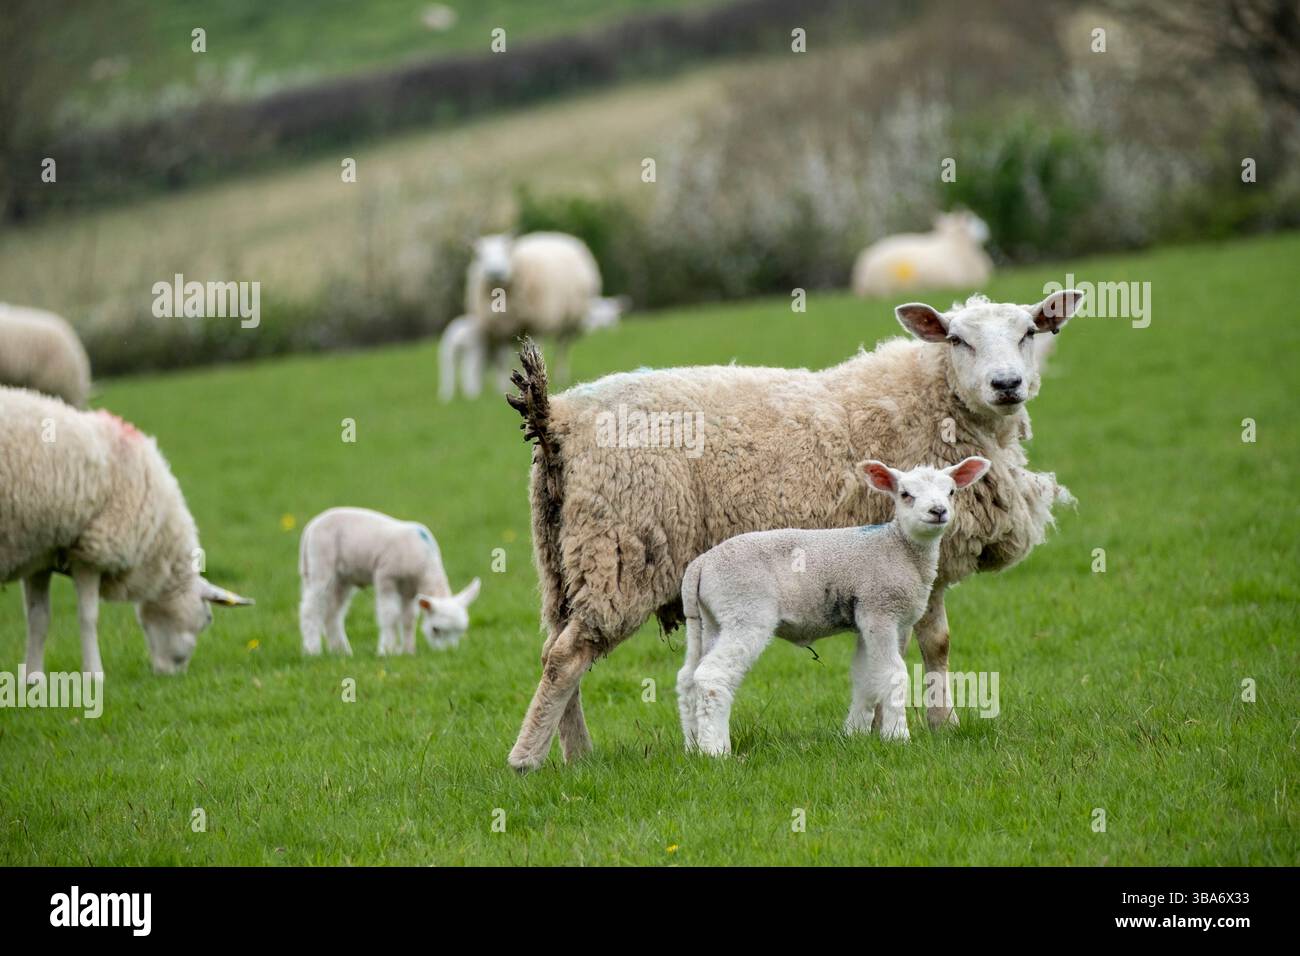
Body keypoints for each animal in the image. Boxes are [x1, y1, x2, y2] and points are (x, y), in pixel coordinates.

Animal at [0, 387, 253, 678]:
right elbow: (88, 616)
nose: (174, 676)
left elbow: (38, 618)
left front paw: (32, 678)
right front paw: (94, 674)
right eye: (208, 619)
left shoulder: (41, 552)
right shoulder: (93, 549)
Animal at [298, 507, 481, 656]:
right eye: (436, 629)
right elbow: (390, 615)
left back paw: (341, 651)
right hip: (320, 563)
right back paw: (312, 650)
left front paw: (408, 651)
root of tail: (311, 526)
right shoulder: (386, 576)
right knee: (311, 609)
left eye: (461, 631)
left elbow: (408, 619)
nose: (447, 653)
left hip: (343, 578)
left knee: (333, 612)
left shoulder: (409, 589)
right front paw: (387, 650)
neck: (426, 563)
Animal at [439, 295, 629, 402]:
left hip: (448, 354)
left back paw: (447, 396)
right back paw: (470, 393)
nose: (610, 325)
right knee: (468, 371)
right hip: (471, 352)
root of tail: (457, 336)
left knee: (450, 373)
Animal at [678, 456, 990, 756]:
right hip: (745, 610)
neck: (899, 547)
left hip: (711, 619)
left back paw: (693, 745)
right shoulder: (880, 610)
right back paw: (716, 750)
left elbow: (866, 677)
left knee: (688, 678)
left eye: (951, 492)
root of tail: (700, 565)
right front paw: (897, 736)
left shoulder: (873, 618)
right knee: (712, 675)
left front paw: (855, 735)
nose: (938, 511)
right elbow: (894, 673)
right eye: (905, 494)